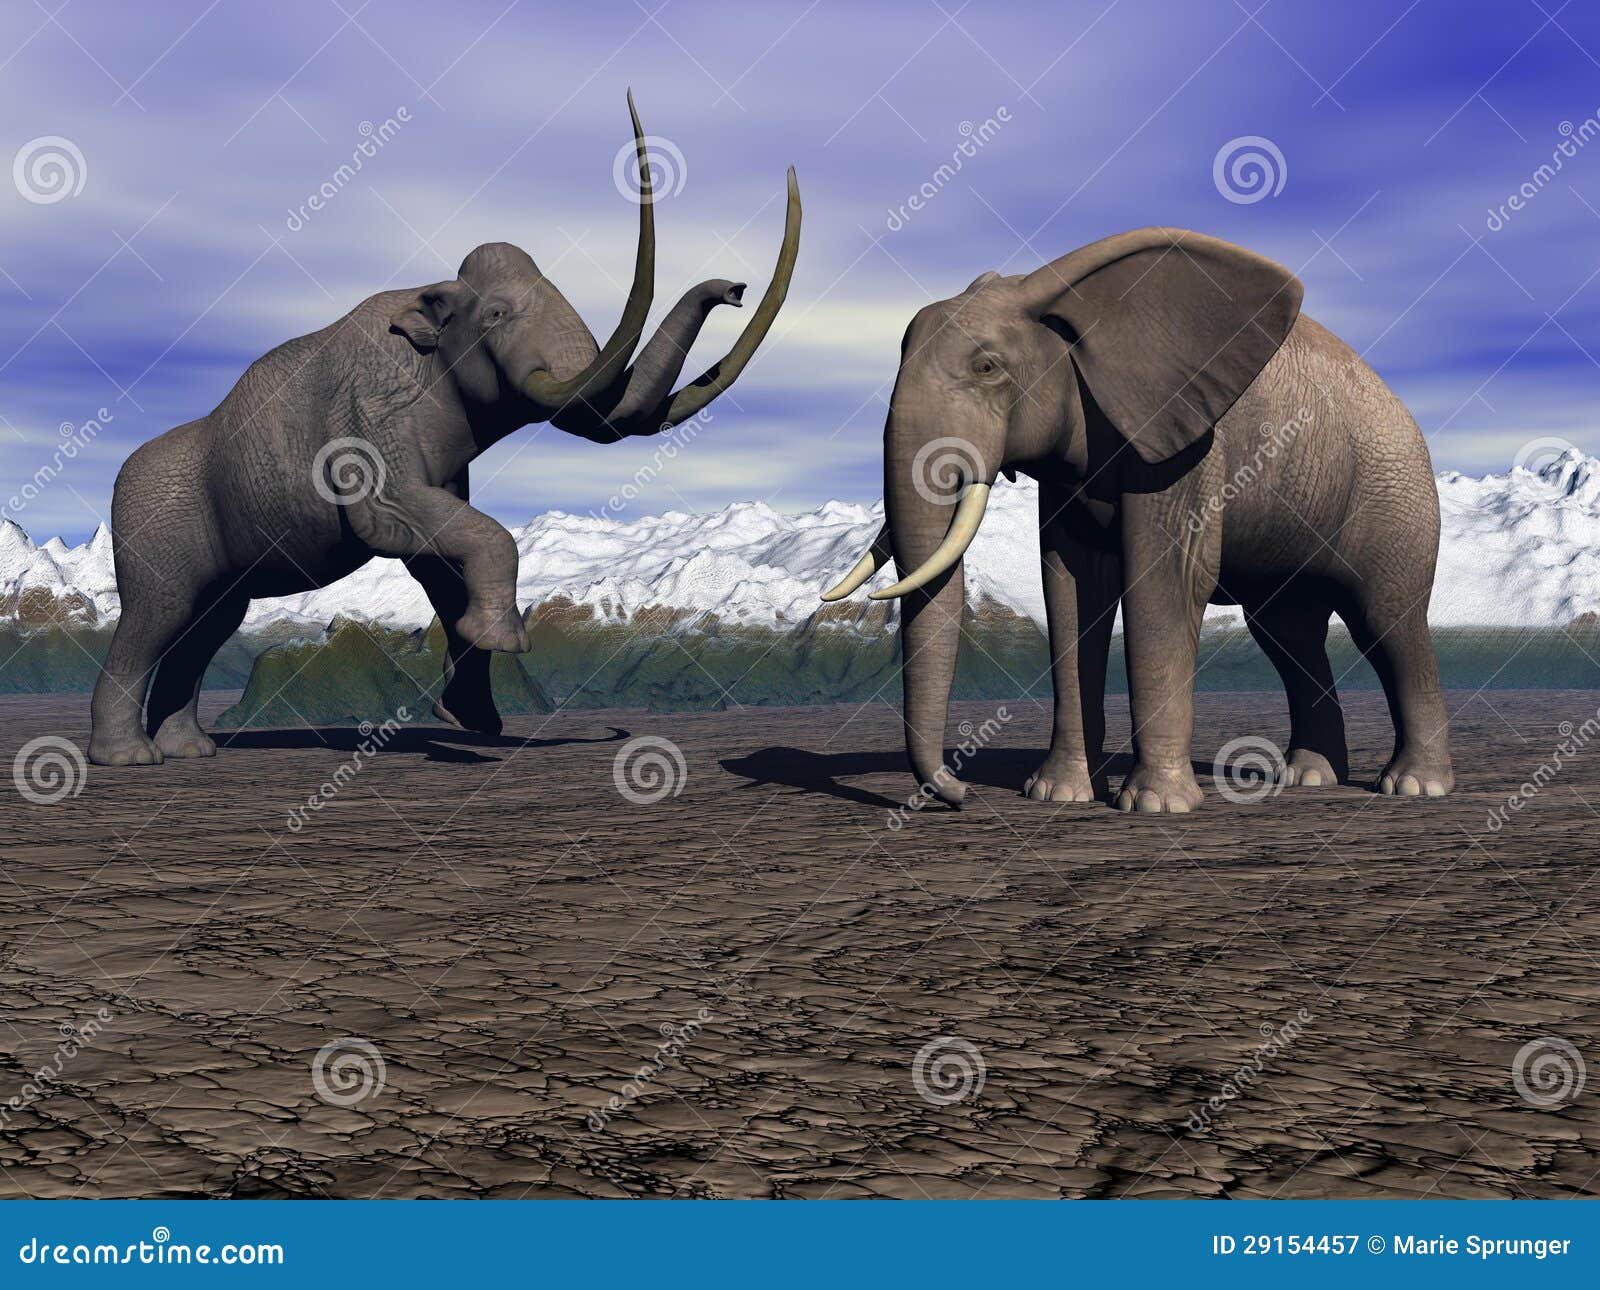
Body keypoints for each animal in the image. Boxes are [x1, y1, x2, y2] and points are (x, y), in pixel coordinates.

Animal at [87, 93, 800, 767]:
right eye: (496, 315)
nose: (734, 288)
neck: (426, 299)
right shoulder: (369, 419)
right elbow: (415, 522)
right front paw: (506, 644)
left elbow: (438, 555)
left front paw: (471, 716)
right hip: (155, 527)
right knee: (157, 618)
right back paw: (129, 759)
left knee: (208, 625)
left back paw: (191, 751)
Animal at [823, 227, 1452, 812]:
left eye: (987, 366)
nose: (961, 795)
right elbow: (1073, 588)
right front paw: (1056, 796)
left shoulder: (1186, 446)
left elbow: (1164, 583)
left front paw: (1155, 806)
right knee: (1288, 633)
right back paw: (1308, 779)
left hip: (1395, 494)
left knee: (1387, 621)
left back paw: (1415, 787)